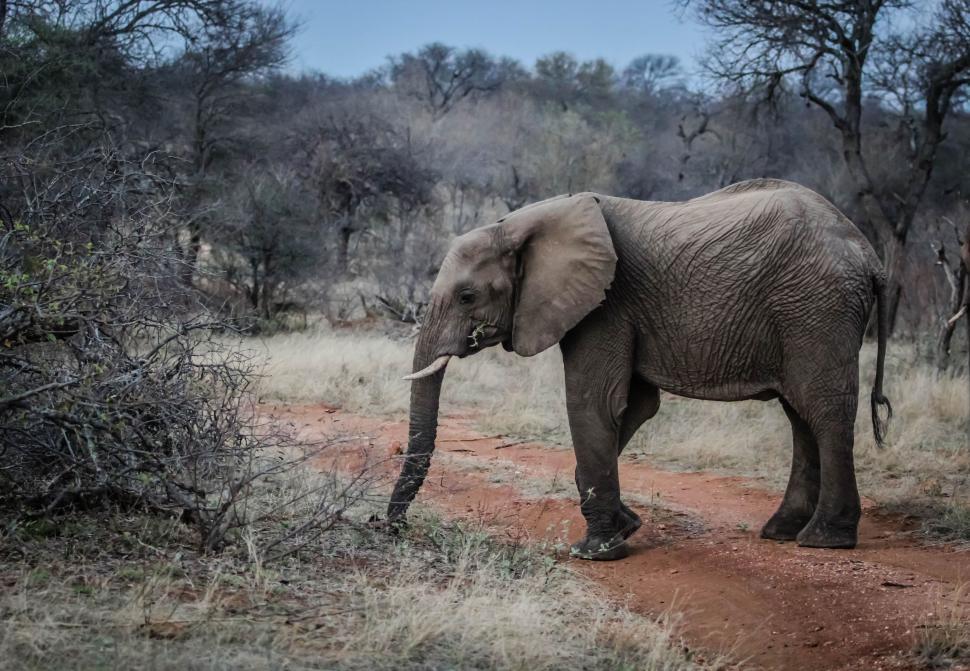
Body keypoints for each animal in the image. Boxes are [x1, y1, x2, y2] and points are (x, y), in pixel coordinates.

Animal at [386, 178, 892, 560]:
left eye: (467, 296)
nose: (390, 527)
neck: (520, 224)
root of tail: (870, 256)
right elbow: (636, 406)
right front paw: (627, 526)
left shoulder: (605, 304)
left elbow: (593, 402)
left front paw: (595, 551)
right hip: (805, 313)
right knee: (799, 413)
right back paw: (782, 531)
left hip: (817, 308)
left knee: (822, 409)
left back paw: (825, 540)